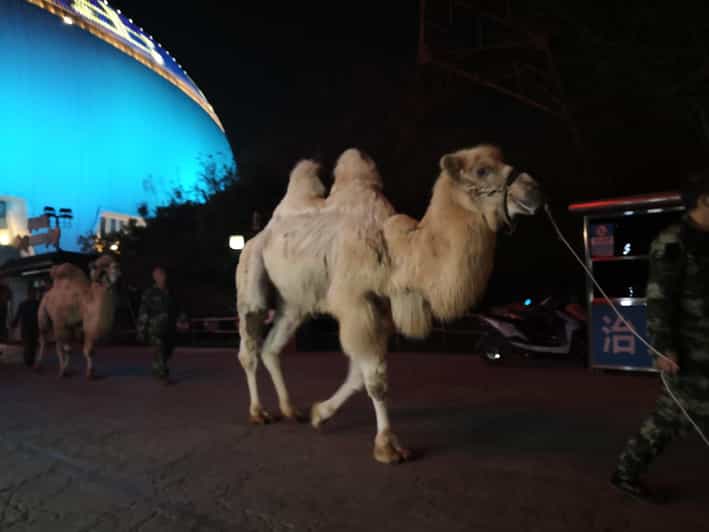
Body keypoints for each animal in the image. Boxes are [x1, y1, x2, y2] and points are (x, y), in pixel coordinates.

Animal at [236, 145, 544, 463]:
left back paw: (290, 409)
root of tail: (259, 234)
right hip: (251, 276)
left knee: (272, 348)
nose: (533, 189)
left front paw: (320, 414)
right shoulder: (357, 304)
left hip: (294, 304)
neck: (397, 254)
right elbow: (375, 380)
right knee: (249, 347)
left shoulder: (382, 308)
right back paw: (259, 412)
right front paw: (387, 446)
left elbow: (359, 376)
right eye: (482, 170)